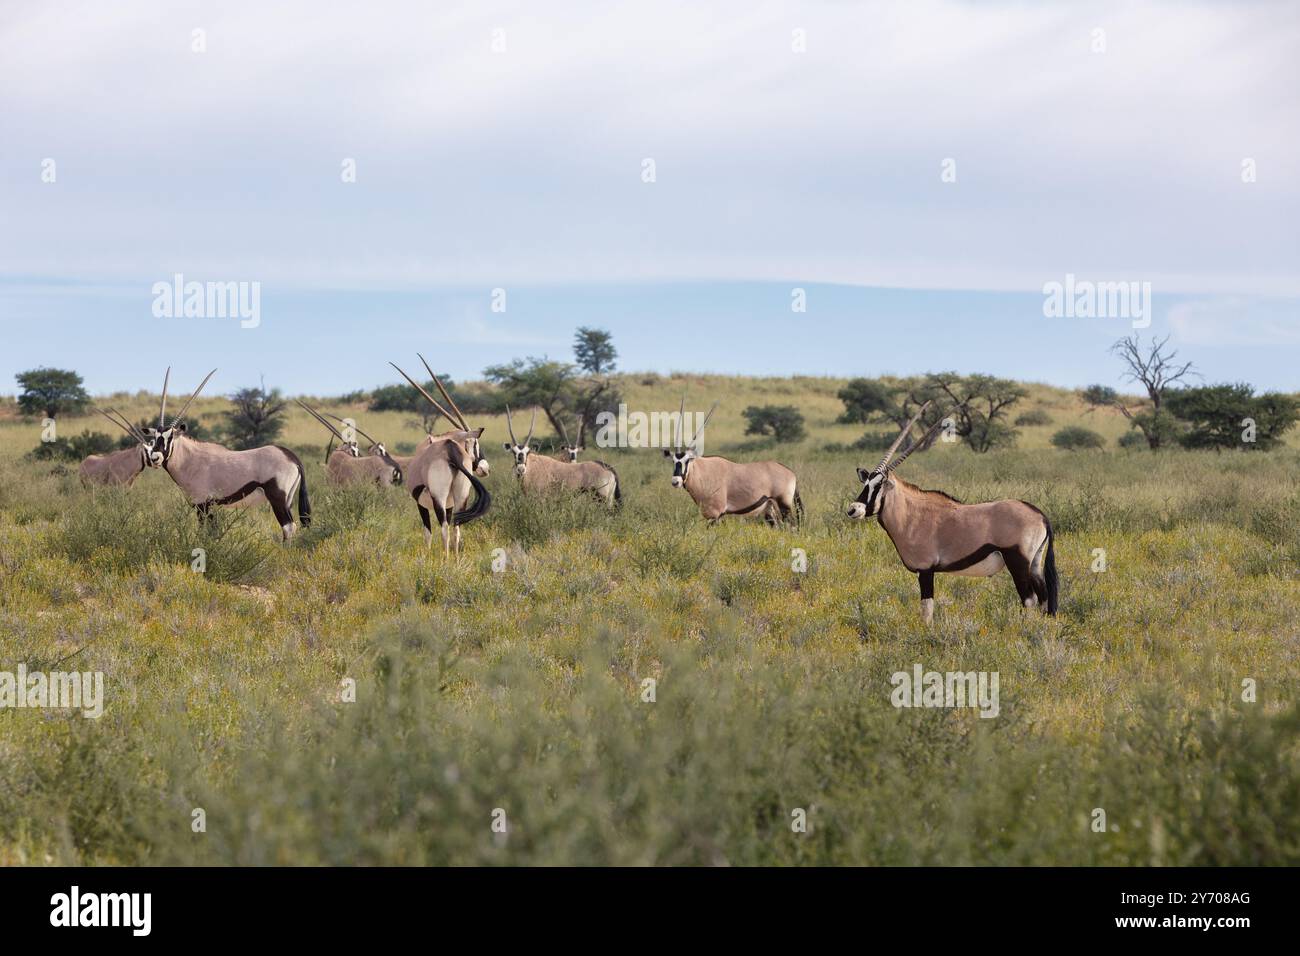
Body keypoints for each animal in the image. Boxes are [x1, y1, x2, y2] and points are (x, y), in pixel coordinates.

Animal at [138, 368, 311, 541]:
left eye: (171, 437)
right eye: (154, 438)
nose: (155, 458)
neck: (189, 460)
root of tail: (291, 456)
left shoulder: (202, 504)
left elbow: (205, 532)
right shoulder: (210, 506)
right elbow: (213, 531)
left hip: (277, 498)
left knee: (288, 526)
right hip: (287, 500)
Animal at [390, 357, 491, 557]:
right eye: (476, 444)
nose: (485, 468)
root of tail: (449, 448)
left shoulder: (422, 504)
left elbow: (427, 533)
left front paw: (428, 557)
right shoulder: (448, 504)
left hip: (439, 497)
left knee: (444, 528)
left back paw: (445, 559)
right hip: (460, 496)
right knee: (456, 528)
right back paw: (456, 559)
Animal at [663, 398, 801, 525]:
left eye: (687, 460)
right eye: (673, 461)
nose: (675, 481)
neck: (703, 472)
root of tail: (791, 473)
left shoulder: (715, 514)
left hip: (784, 506)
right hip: (769, 509)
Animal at [845, 402, 1058, 623]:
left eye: (878, 486)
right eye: (866, 484)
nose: (853, 509)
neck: (911, 515)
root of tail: (1040, 515)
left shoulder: (926, 570)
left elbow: (927, 609)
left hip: (1018, 562)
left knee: (1029, 599)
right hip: (1034, 563)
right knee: (1044, 597)